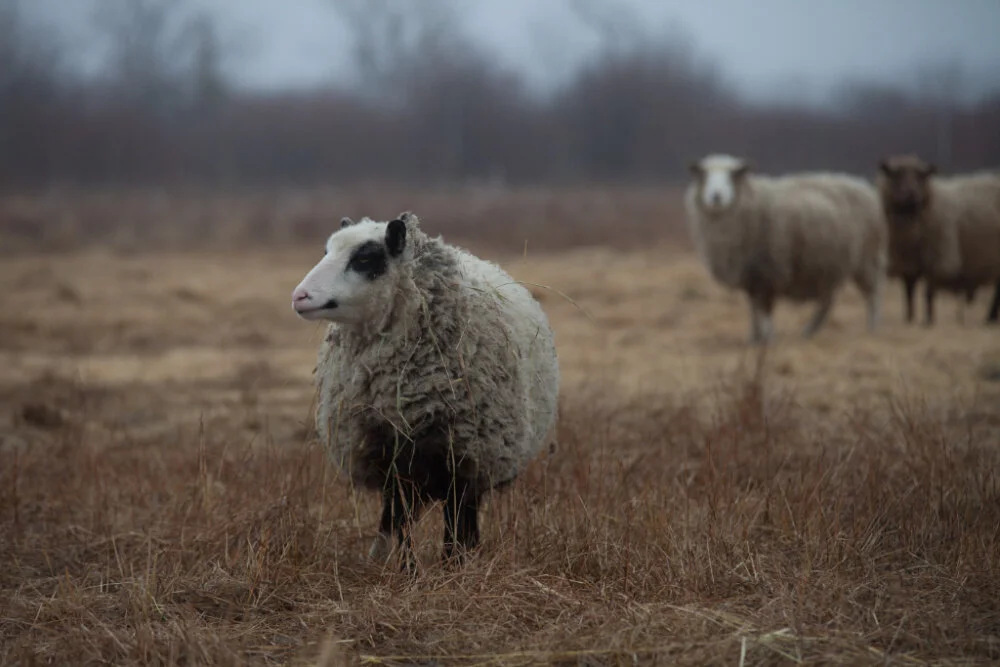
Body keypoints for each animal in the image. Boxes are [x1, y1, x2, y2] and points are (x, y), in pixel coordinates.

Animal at [291, 211, 560, 570]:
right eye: (325, 251)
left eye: (365, 258)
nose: (299, 296)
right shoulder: (388, 452)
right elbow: (400, 517)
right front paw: (405, 568)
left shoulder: (462, 454)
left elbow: (455, 519)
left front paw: (452, 566)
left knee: (464, 515)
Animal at [685, 154, 888, 344]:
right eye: (704, 176)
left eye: (732, 177)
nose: (716, 197)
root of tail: (862, 184)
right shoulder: (751, 276)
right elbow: (753, 310)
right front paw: (753, 339)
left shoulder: (768, 272)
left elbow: (764, 311)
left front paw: (767, 340)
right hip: (830, 265)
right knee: (828, 301)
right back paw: (809, 331)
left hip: (866, 259)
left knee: (873, 295)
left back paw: (872, 329)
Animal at [876, 154, 1000, 326]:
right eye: (897, 174)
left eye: (921, 176)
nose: (911, 193)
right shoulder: (907, 263)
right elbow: (908, 293)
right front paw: (909, 319)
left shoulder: (936, 260)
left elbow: (928, 293)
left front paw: (928, 321)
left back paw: (991, 318)